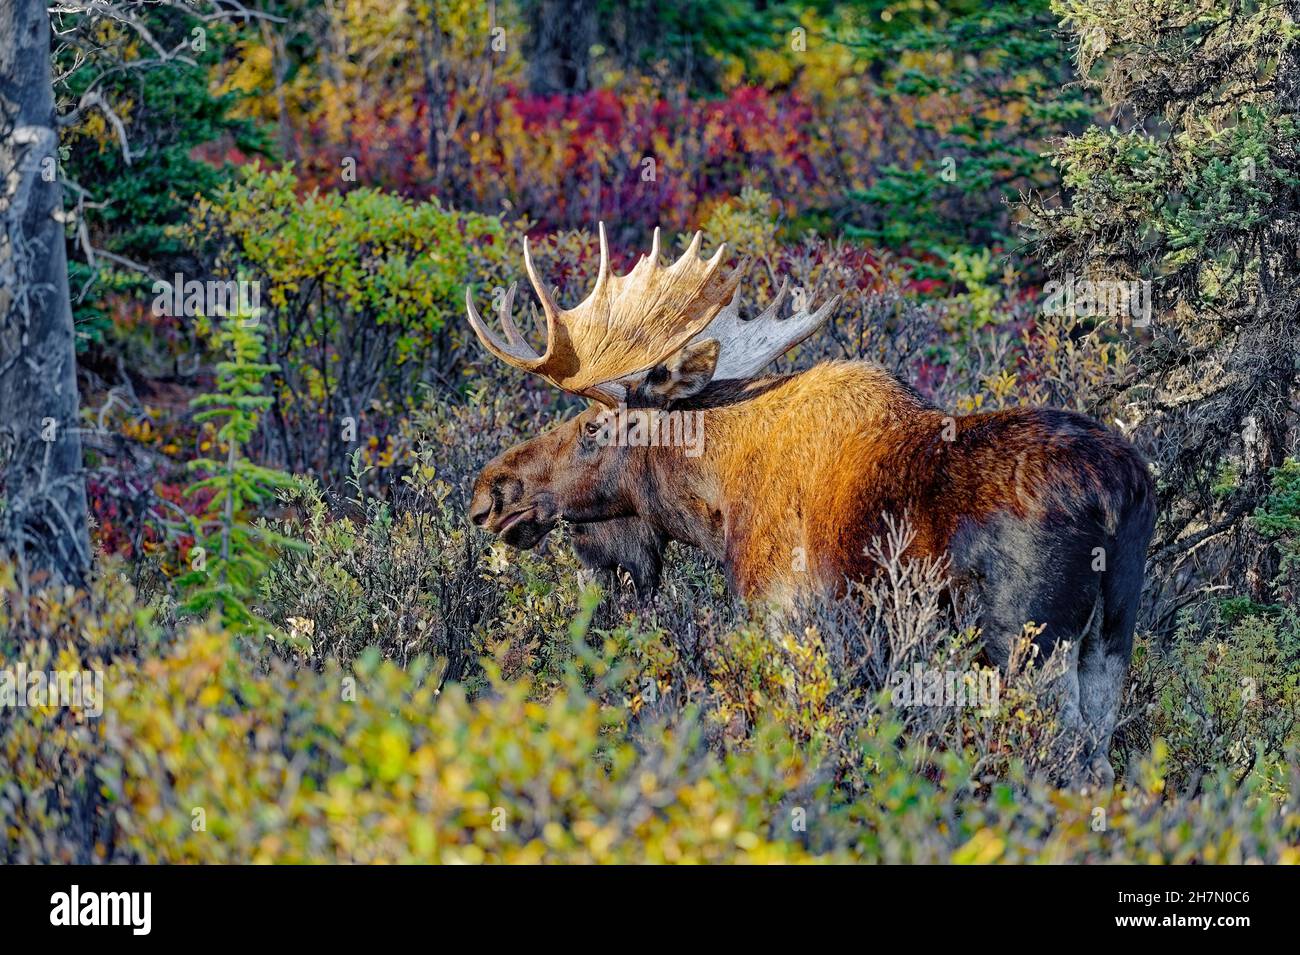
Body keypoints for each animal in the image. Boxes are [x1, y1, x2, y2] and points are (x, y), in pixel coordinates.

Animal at [466, 225, 1156, 785]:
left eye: (591, 427)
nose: (489, 493)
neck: (718, 502)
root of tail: (1120, 492)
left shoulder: (788, 622)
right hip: (1110, 640)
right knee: (1099, 761)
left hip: (1028, 646)